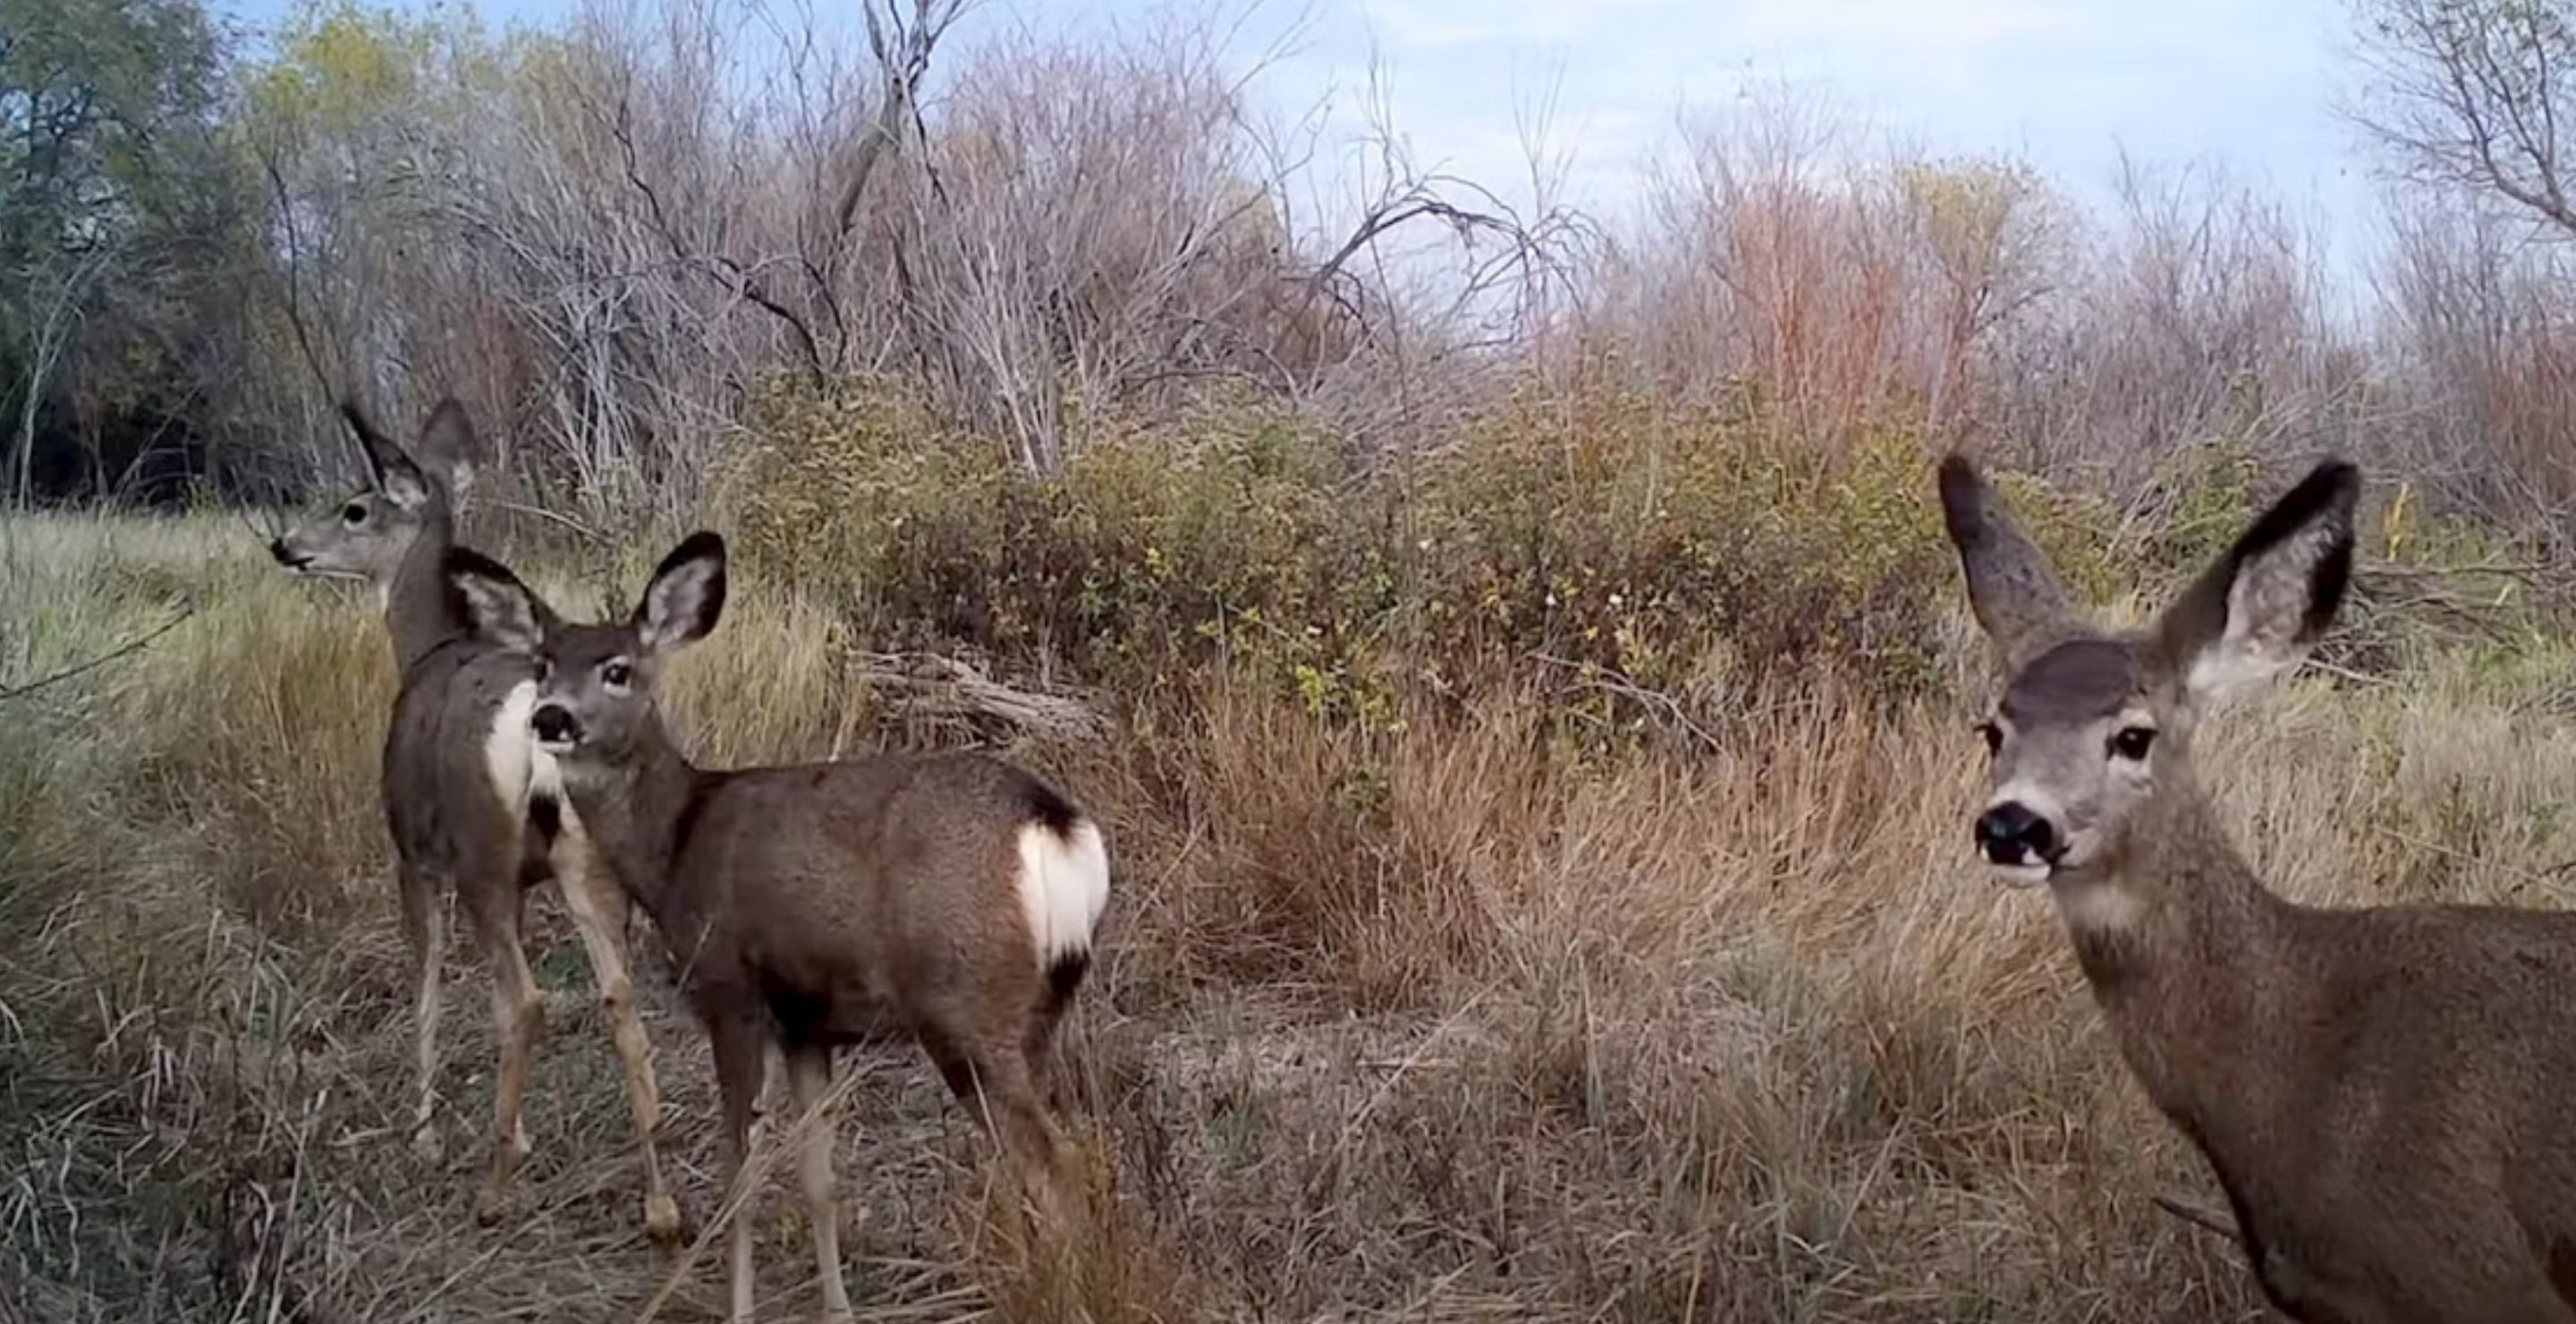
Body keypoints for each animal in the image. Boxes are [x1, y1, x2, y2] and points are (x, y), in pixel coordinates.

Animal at [266, 399, 679, 1242]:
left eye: (355, 508)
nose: (285, 545)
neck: (423, 649)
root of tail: (544, 720)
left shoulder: (416, 853)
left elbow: (427, 984)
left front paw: (427, 1135)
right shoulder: (527, 878)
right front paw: (516, 1129)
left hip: (482, 852)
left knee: (528, 1001)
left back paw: (493, 1193)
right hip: (587, 860)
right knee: (620, 1000)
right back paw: (660, 1205)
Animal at [438, 530, 1111, 1324]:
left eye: (617, 669)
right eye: (543, 663)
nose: (550, 718)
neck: (674, 844)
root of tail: (1055, 826)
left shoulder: (732, 994)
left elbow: (742, 1179)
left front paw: (738, 1308)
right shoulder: (806, 1024)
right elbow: (820, 1181)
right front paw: (838, 1309)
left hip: (966, 1006)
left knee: (1056, 1162)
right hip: (1035, 1013)